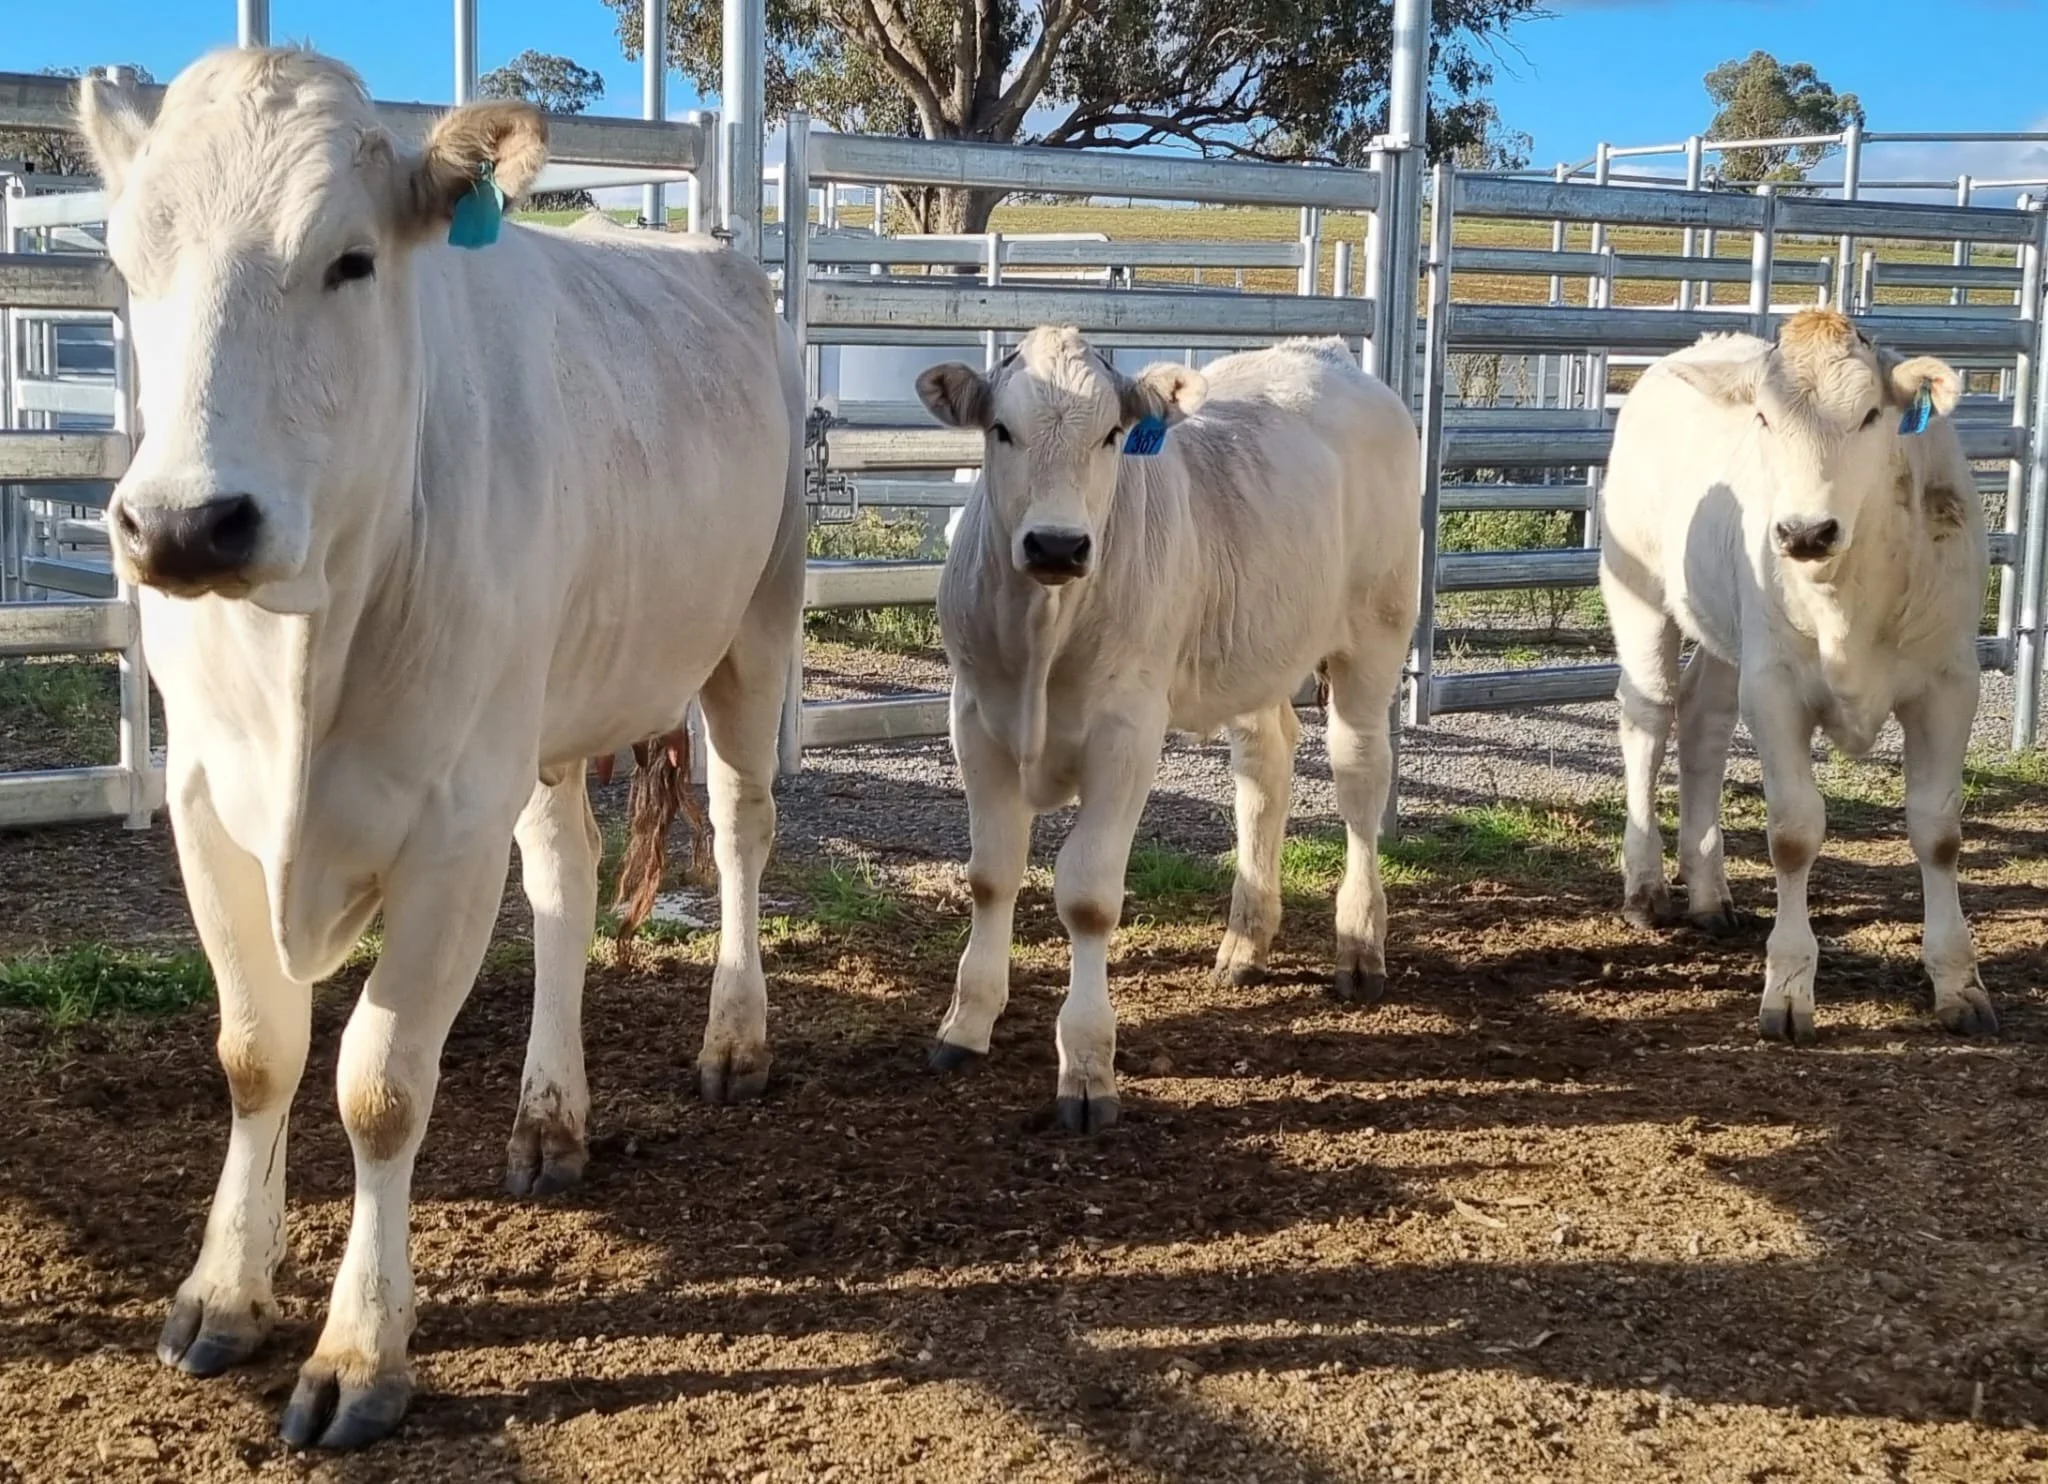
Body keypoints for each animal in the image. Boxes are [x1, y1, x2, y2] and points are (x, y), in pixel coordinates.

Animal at [75, 48, 806, 1448]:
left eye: (352, 259)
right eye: (128, 261)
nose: (184, 524)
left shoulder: (450, 822)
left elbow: (379, 1085)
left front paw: (361, 1351)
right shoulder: (205, 804)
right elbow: (256, 1050)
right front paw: (223, 1290)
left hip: (755, 621)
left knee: (743, 828)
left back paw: (736, 1039)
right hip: (541, 710)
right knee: (567, 874)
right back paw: (549, 1115)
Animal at [915, 327, 1421, 1132]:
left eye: (1112, 435)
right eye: (1001, 430)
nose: (1056, 545)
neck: (1042, 639)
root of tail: (1325, 351)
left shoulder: (1127, 732)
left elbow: (1088, 897)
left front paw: (1087, 1067)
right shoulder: (975, 719)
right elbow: (991, 875)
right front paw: (966, 1025)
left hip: (1374, 635)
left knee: (1360, 778)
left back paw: (1360, 945)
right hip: (1254, 652)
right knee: (1264, 771)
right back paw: (1244, 944)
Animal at [1598, 308, 1996, 1045]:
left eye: (1870, 414)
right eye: (1762, 417)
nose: (1805, 532)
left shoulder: (1949, 683)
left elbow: (1939, 832)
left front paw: (1959, 983)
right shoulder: (1775, 685)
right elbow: (1792, 833)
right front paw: (1786, 990)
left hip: (1730, 637)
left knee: (1703, 723)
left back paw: (1710, 893)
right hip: (1637, 591)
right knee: (1649, 715)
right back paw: (1645, 886)